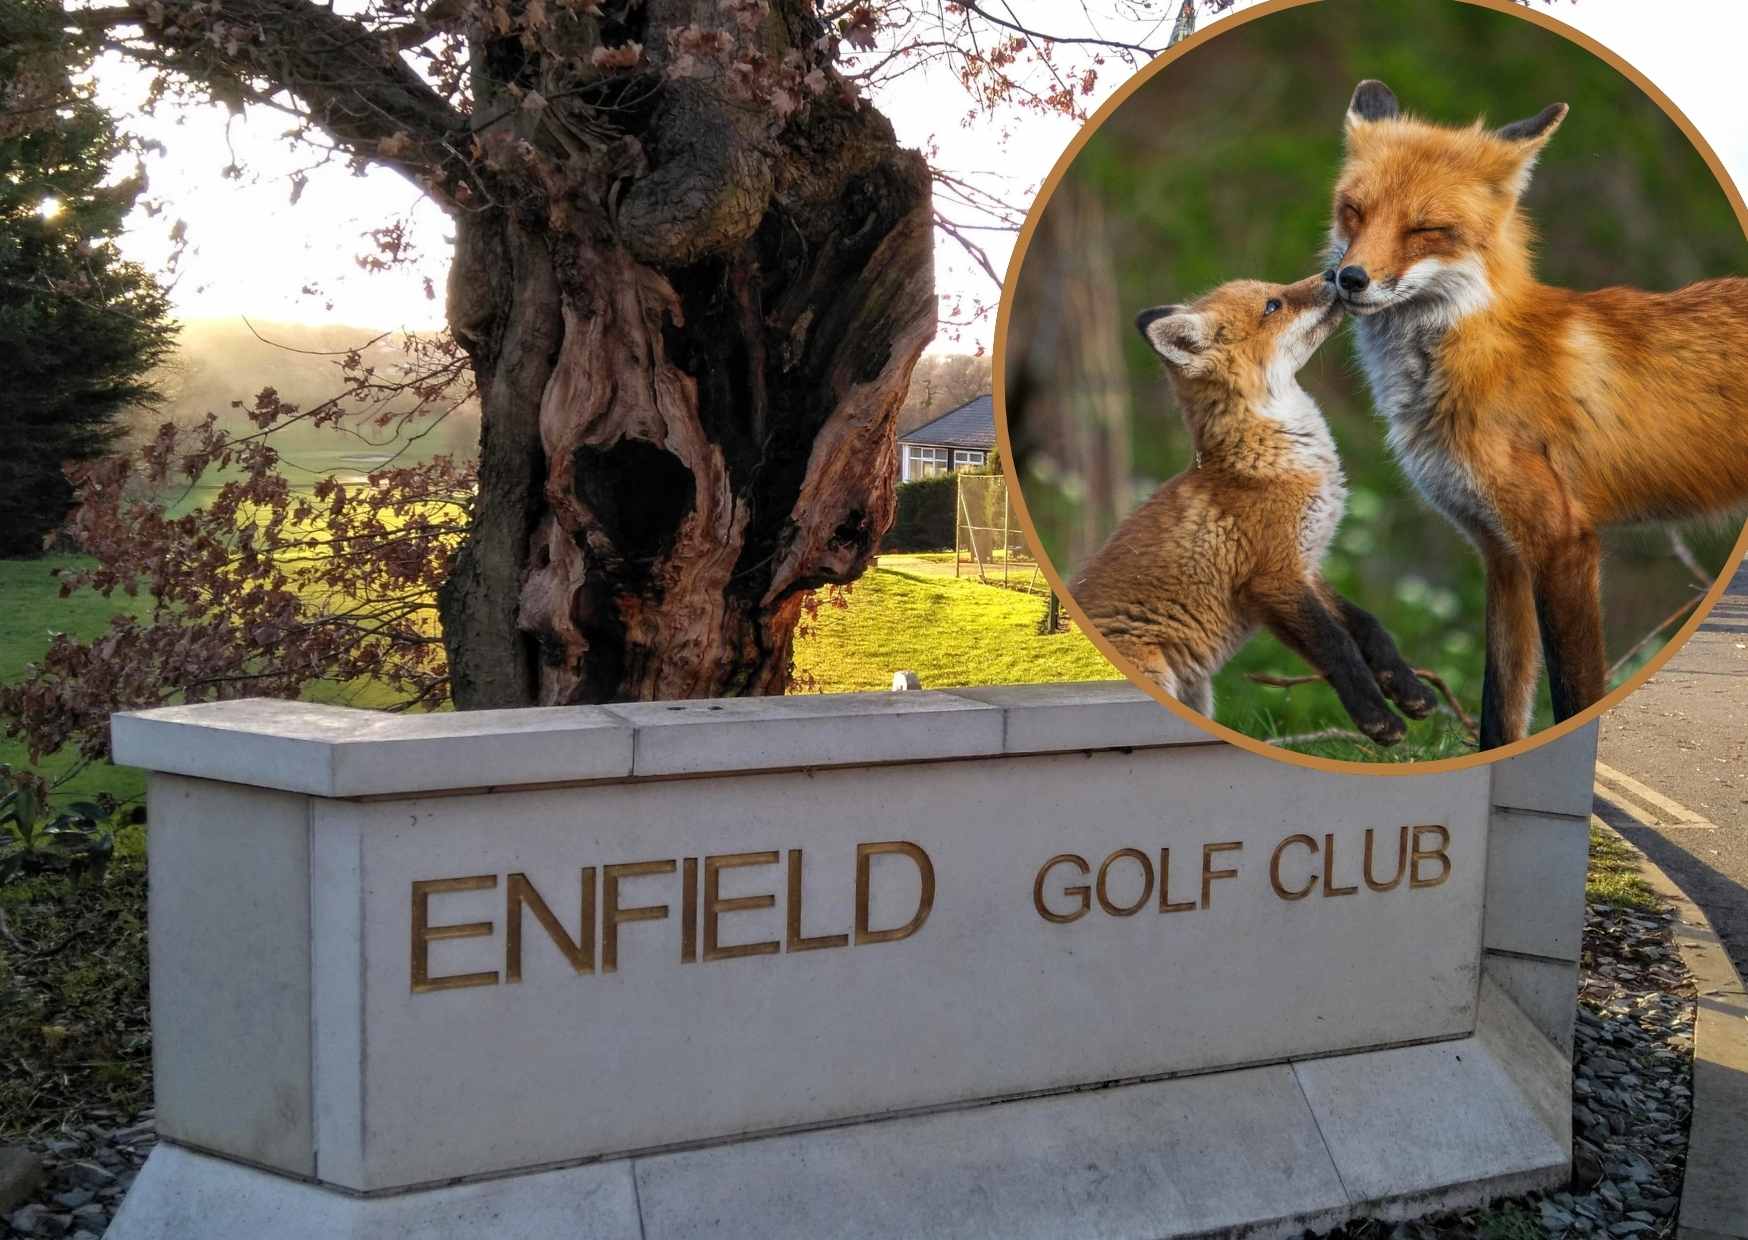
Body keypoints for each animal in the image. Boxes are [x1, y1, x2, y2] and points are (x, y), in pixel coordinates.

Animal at [1072, 273, 1439, 743]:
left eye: (1274, 290)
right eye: (1273, 306)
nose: (1335, 274)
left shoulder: (1305, 566)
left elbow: (1369, 627)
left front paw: (1411, 691)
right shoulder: (1272, 579)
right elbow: (1338, 647)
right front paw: (1377, 719)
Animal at [1330, 80, 1748, 749]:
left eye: (1427, 229)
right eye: (1354, 212)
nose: (1349, 279)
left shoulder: (1562, 542)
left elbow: (1574, 696)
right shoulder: (1500, 554)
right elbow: (1502, 708)